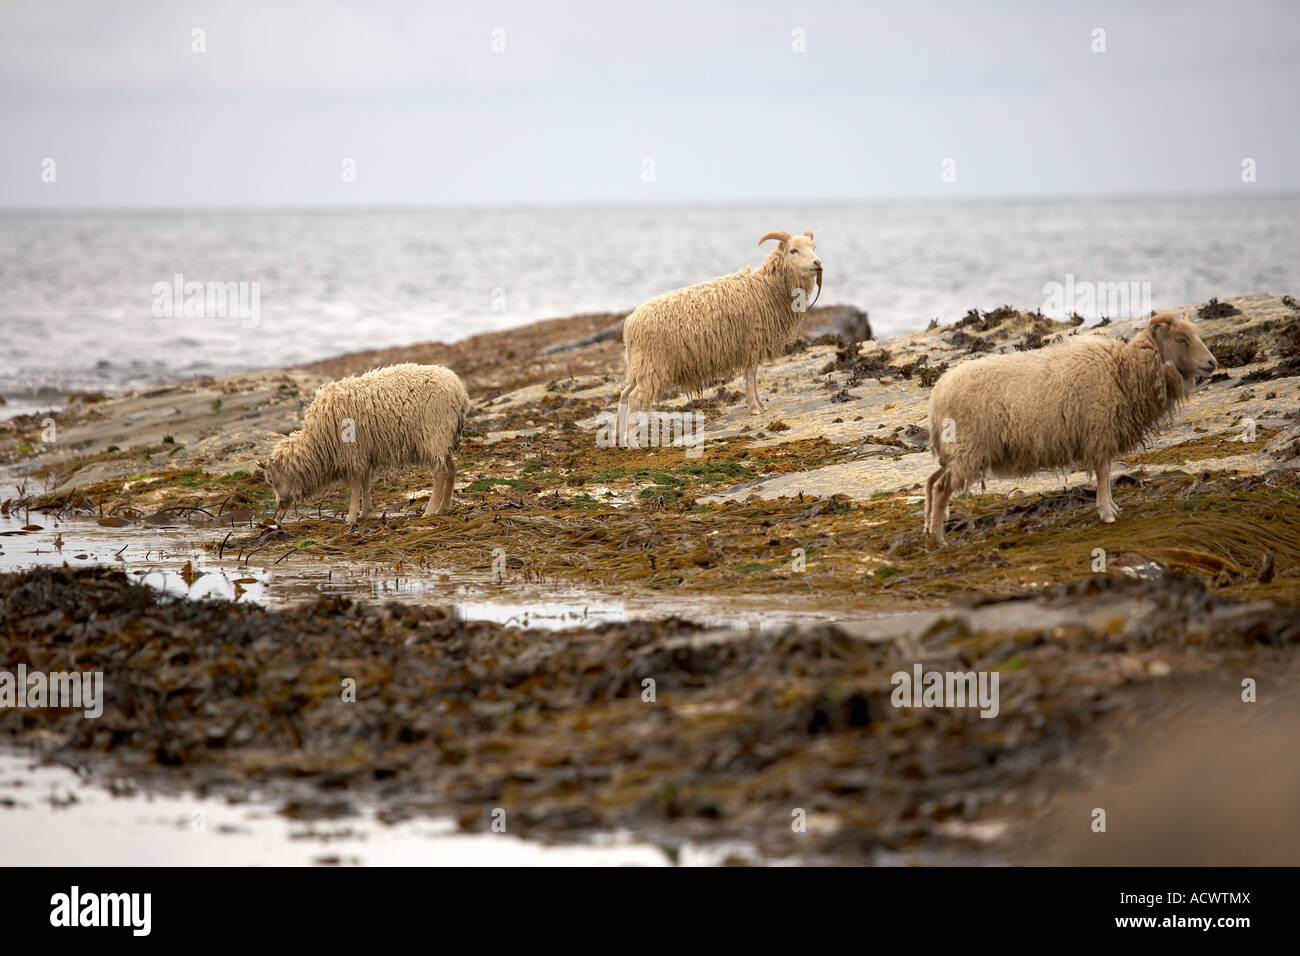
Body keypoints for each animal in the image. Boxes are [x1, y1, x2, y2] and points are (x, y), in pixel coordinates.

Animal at [260, 363, 470, 525]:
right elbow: (365, 483)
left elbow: (355, 486)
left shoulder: (352, 453)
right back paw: (444, 508)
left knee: (440, 472)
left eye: (270, 480)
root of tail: (459, 391)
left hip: (434, 435)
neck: (316, 441)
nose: (280, 505)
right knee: (452, 468)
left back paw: (430, 510)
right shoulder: (364, 453)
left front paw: (351, 517)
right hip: (444, 438)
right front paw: (365, 513)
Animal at [617, 230, 823, 446]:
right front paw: (754, 408)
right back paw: (632, 443)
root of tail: (629, 325)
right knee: (634, 399)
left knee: (624, 395)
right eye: (793, 250)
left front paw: (759, 404)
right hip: (653, 366)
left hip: (641, 365)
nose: (818, 263)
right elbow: (750, 376)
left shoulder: (753, 347)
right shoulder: (751, 343)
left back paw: (620, 438)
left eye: (813, 247)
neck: (766, 288)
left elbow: (753, 377)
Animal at [923, 311, 1217, 545]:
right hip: (969, 448)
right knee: (941, 487)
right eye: (1180, 339)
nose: (1212, 363)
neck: (1123, 370)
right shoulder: (1098, 431)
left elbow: (1105, 473)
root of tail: (937, 395)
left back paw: (929, 528)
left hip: (956, 450)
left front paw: (1112, 507)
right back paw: (939, 540)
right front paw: (1107, 513)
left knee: (932, 481)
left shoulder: (1102, 434)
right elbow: (1103, 473)